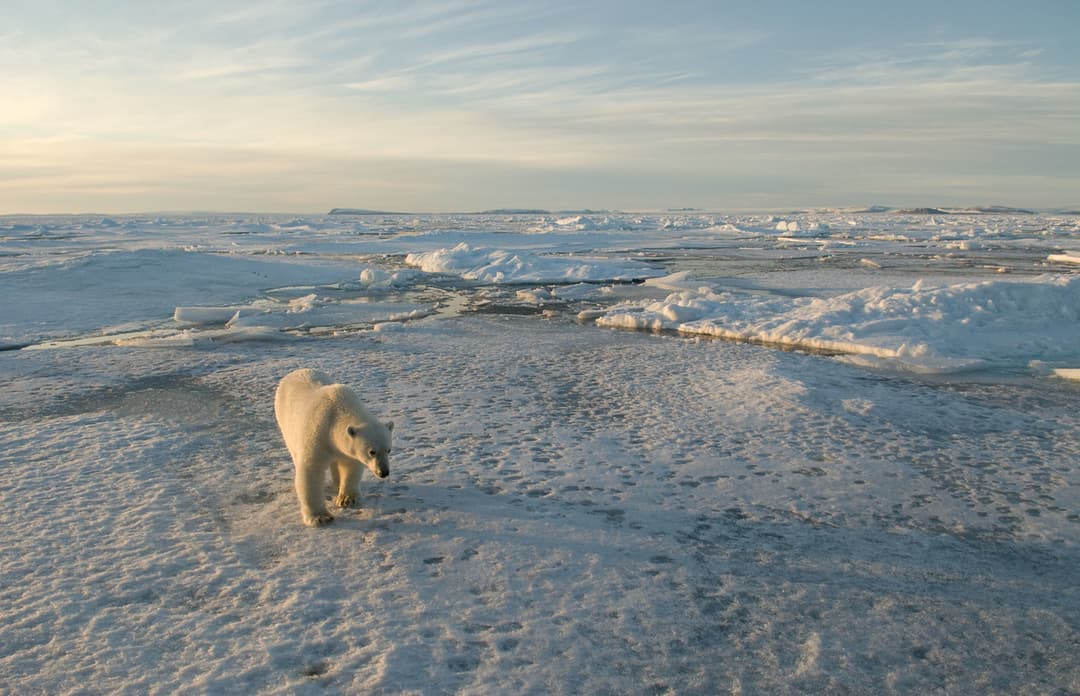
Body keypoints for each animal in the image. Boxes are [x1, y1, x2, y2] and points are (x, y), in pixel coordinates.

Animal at [274, 368, 393, 527]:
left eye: (388, 450)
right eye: (372, 452)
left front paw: (347, 499)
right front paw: (320, 517)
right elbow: (311, 471)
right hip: (286, 424)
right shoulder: (317, 435)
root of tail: (295, 372)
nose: (384, 472)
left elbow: (350, 465)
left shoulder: (346, 448)